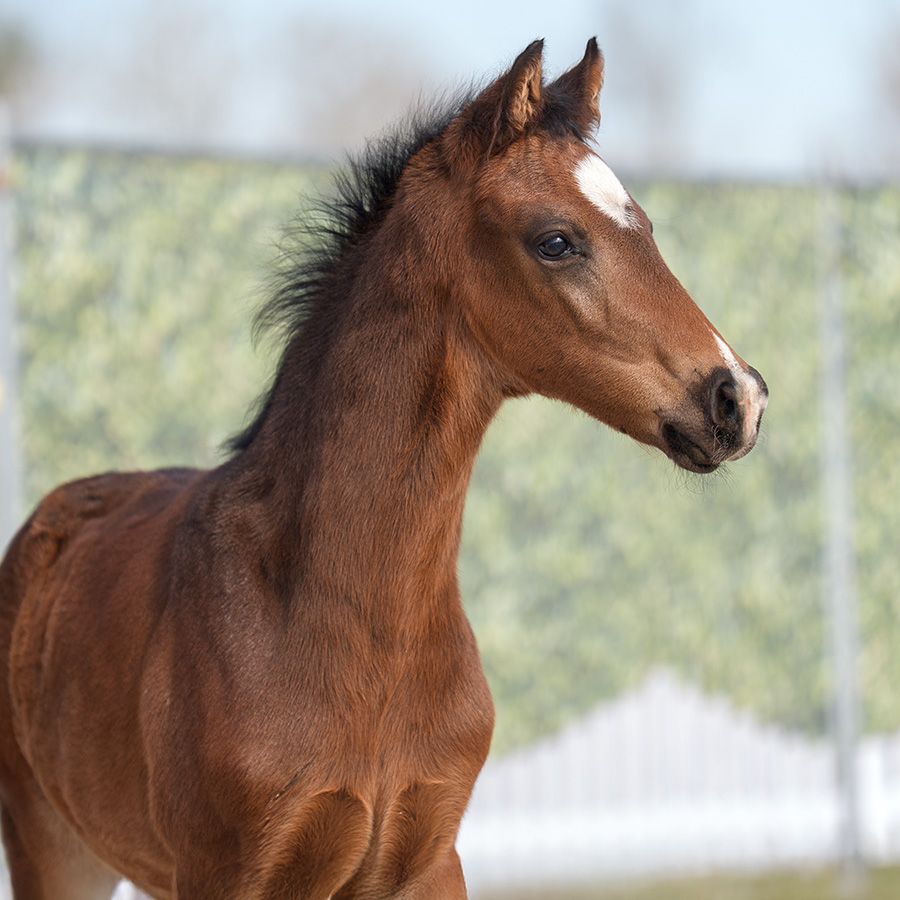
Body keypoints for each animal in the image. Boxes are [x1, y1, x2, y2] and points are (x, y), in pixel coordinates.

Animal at [0, 38, 767, 899]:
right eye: (556, 240)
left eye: (647, 228)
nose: (738, 397)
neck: (360, 625)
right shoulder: (226, 873)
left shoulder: (429, 860)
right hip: (50, 845)